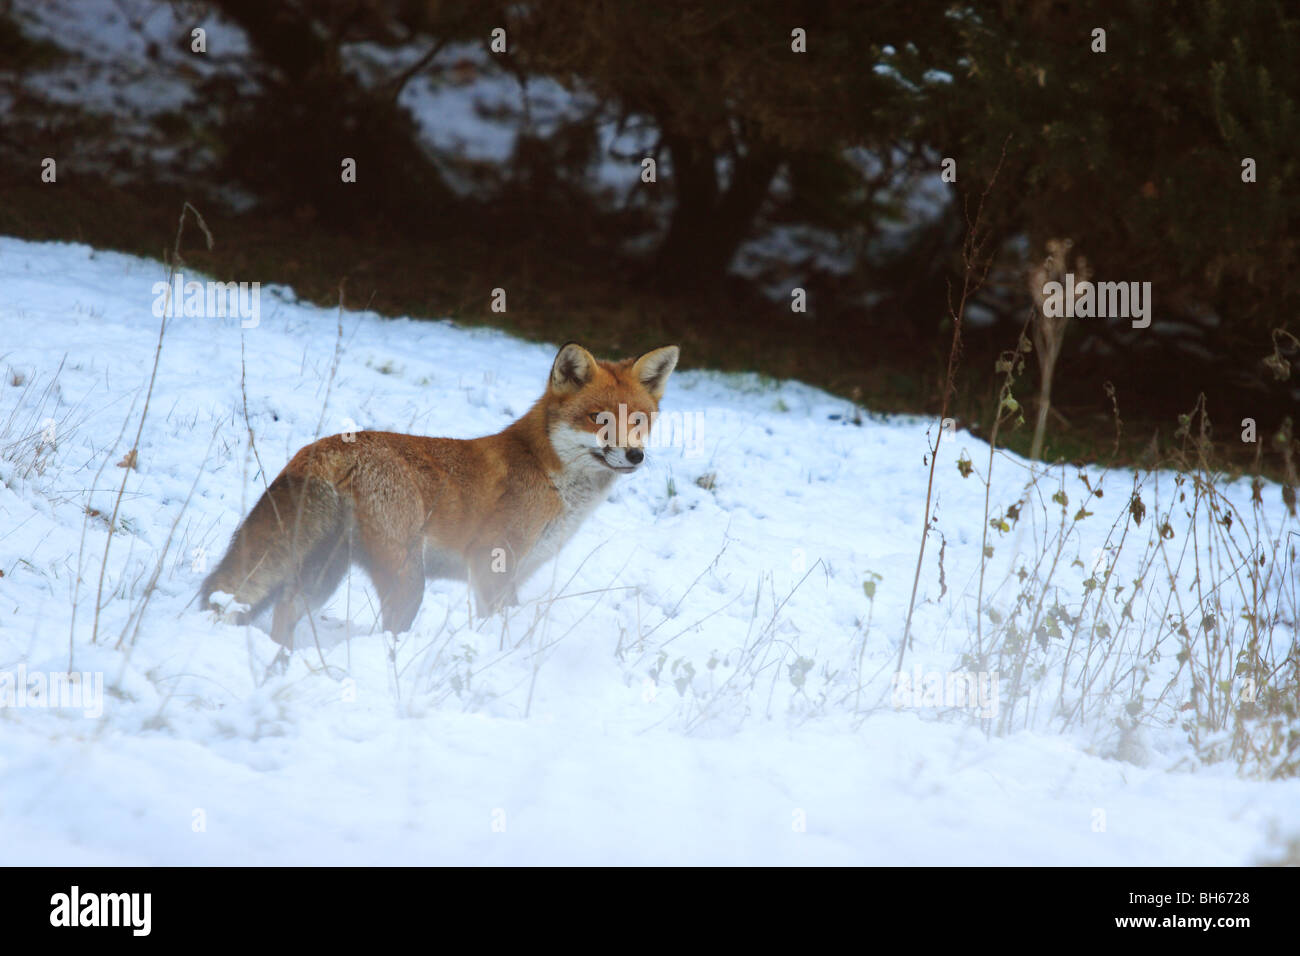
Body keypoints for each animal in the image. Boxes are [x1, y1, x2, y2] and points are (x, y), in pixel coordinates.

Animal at [200, 342, 679, 649]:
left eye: (639, 420)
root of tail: (325, 447)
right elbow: (498, 628)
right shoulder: (492, 563)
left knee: (284, 607)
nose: (635, 455)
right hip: (408, 580)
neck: (548, 471)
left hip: (326, 572)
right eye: (599, 418)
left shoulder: (515, 575)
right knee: (386, 631)